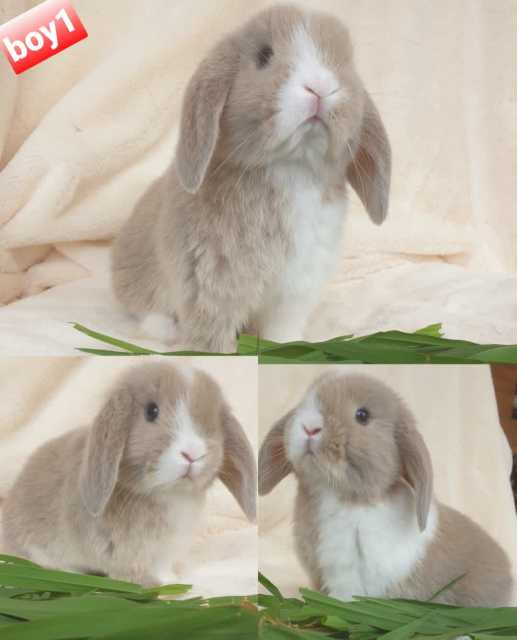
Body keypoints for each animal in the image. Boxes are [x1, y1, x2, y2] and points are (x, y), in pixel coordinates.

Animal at [1, 362, 256, 587]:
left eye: (213, 423)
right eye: (151, 412)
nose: (193, 453)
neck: (169, 493)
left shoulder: (167, 550)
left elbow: (164, 566)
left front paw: (174, 580)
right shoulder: (122, 550)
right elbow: (133, 571)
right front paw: (160, 586)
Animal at [111, 3, 391, 353]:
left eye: (345, 64)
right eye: (263, 55)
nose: (320, 87)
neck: (292, 166)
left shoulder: (294, 290)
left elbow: (282, 330)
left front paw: (288, 350)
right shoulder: (210, 285)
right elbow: (211, 331)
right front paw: (216, 354)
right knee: (144, 308)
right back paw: (166, 331)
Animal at [259, 372, 514, 606]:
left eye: (362, 415)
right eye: (305, 403)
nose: (309, 427)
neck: (331, 491)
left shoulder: (346, 573)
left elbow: (344, 599)